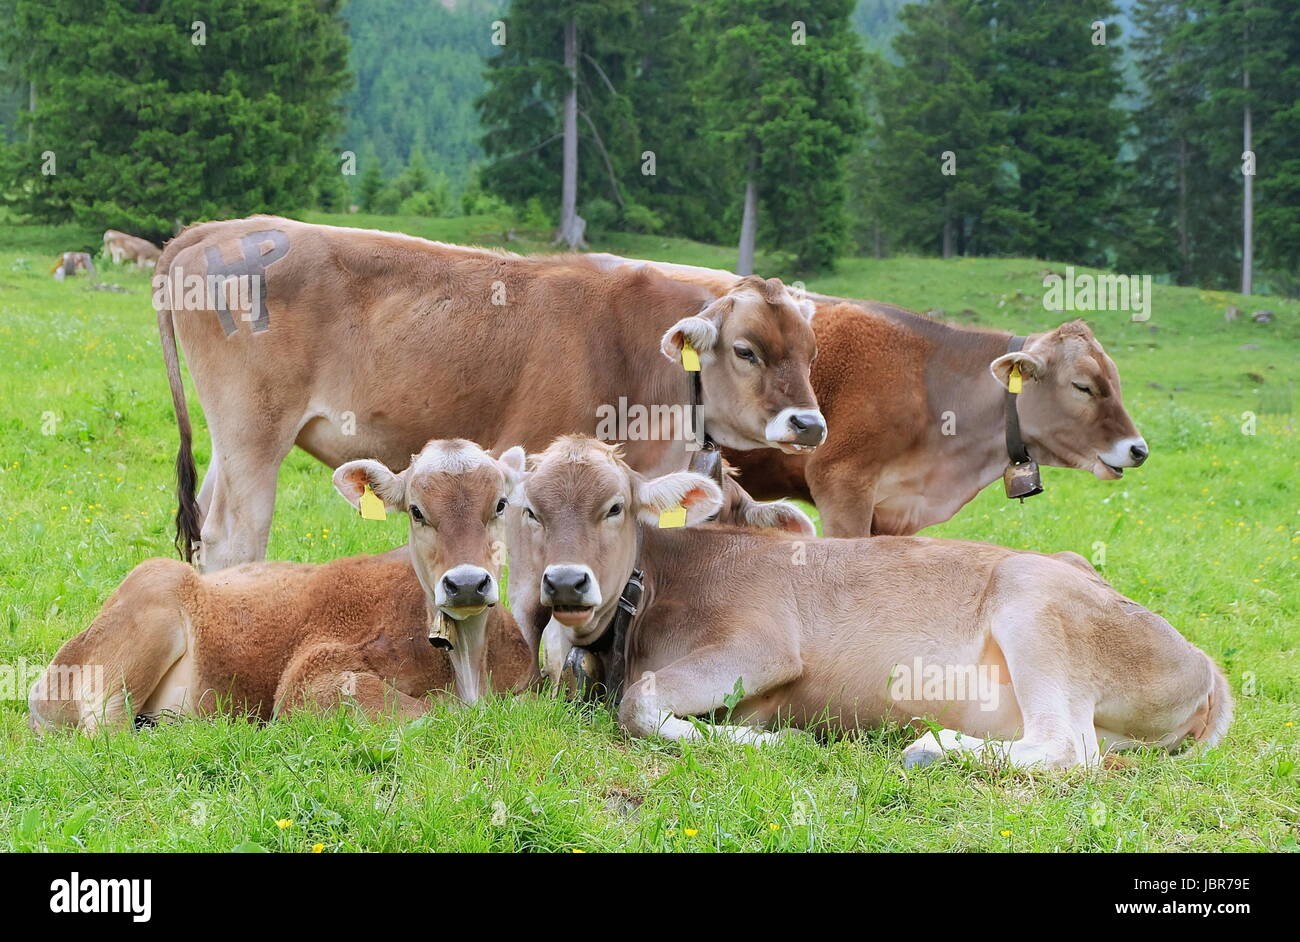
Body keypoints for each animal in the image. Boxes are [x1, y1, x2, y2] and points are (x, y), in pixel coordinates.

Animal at [28, 439, 535, 734]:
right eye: (415, 510)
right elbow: (431, 714)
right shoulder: (311, 677)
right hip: (149, 603)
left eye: (501, 504)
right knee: (104, 725)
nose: (466, 583)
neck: (467, 662)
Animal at [154, 216, 825, 572]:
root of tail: (218, 230)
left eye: (811, 352)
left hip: (233, 444)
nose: (809, 425)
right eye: (746, 351)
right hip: (254, 435)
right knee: (233, 538)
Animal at [503, 435, 1231, 770]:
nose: (565, 582)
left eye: (615, 506)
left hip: (1034, 600)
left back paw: (929, 747)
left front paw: (770, 738)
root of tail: (1204, 663)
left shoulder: (762, 645)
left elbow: (638, 705)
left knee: (1065, 747)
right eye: (528, 509)